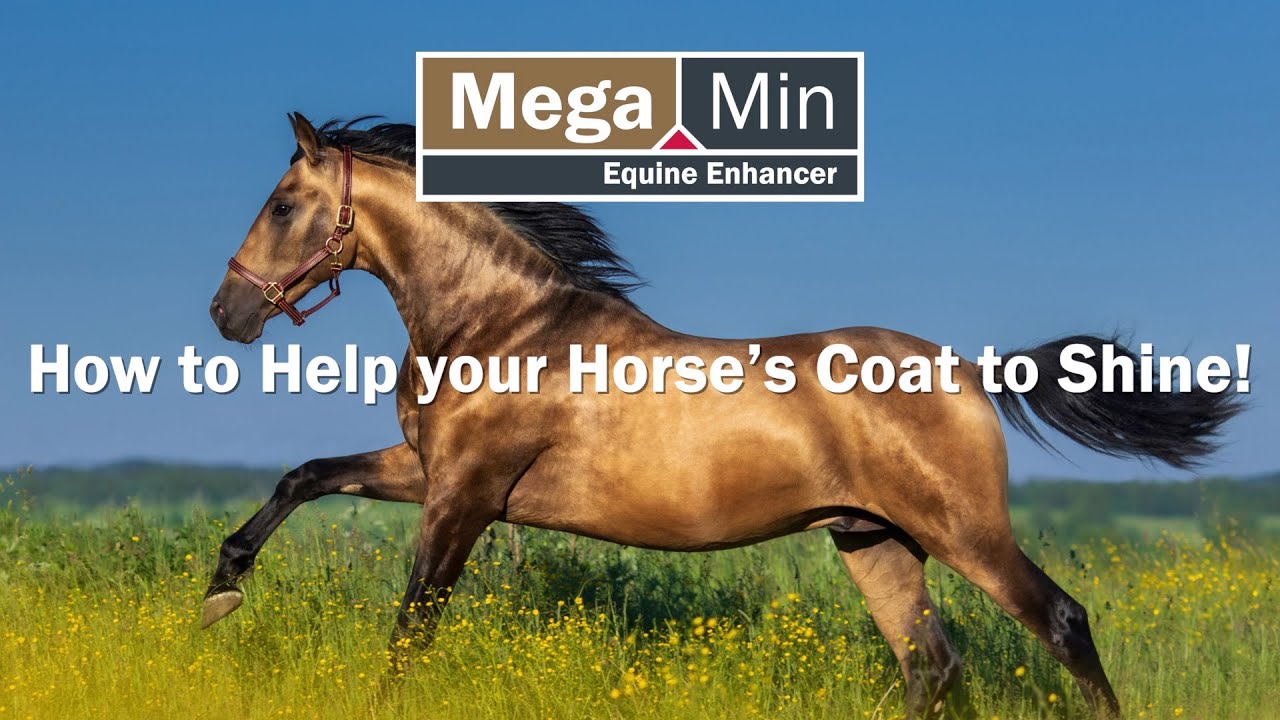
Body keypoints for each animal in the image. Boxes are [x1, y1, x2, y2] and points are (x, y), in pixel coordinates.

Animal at [204, 113, 1240, 719]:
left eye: (285, 204)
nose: (228, 314)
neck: (503, 324)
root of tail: (969, 371)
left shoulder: (463, 492)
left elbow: (412, 624)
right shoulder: (431, 472)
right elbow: (304, 477)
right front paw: (221, 589)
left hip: (962, 530)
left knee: (1060, 623)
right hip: (873, 540)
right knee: (931, 667)